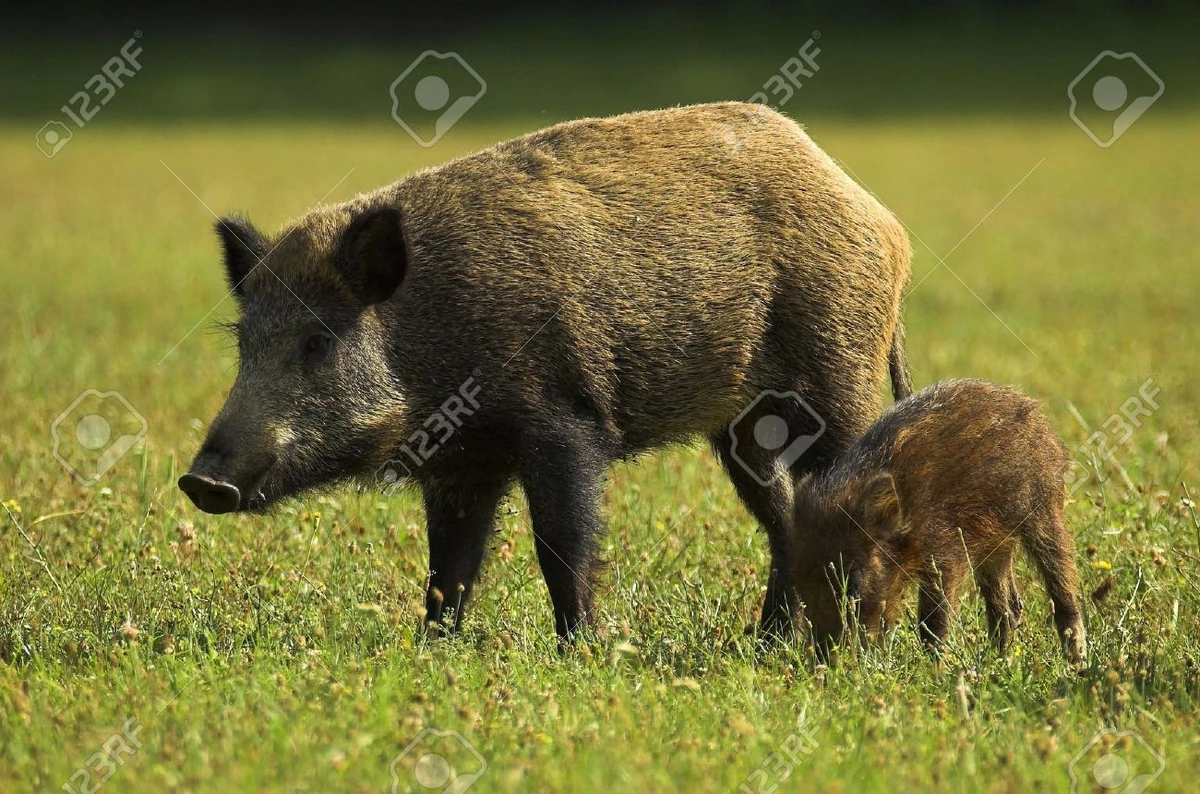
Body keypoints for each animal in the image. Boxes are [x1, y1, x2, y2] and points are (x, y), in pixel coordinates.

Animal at [178, 102, 913, 641]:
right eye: (244, 343)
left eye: (318, 341)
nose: (201, 481)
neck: (427, 334)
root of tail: (885, 223)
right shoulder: (462, 465)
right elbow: (449, 566)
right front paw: (432, 649)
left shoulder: (565, 421)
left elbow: (561, 544)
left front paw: (580, 650)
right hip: (743, 427)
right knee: (786, 517)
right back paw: (766, 644)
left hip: (837, 375)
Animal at [792, 379, 1087, 665]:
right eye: (801, 581)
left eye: (853, 583)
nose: (826, 662)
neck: (907, 517)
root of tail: (1042, 422)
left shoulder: (945, 552)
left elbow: (931, 621)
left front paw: (936, 669)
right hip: (996, 545)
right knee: (1008, 607)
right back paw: (999, 662)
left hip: (1044, 512)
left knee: (1063, 587)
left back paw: (1076, 661)